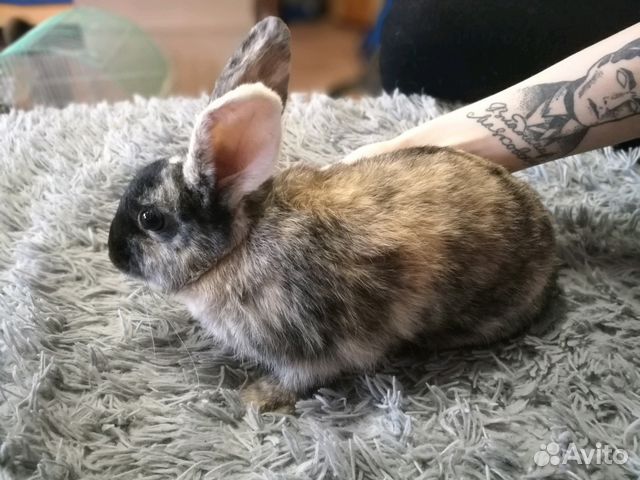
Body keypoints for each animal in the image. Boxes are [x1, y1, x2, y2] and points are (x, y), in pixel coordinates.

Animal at [108, 17, 556, 412]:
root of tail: (548, 240)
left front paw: (255, 398)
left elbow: (302, 378)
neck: (235, 248)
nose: (113, 254)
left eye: (151, 220)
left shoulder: (308, 345)